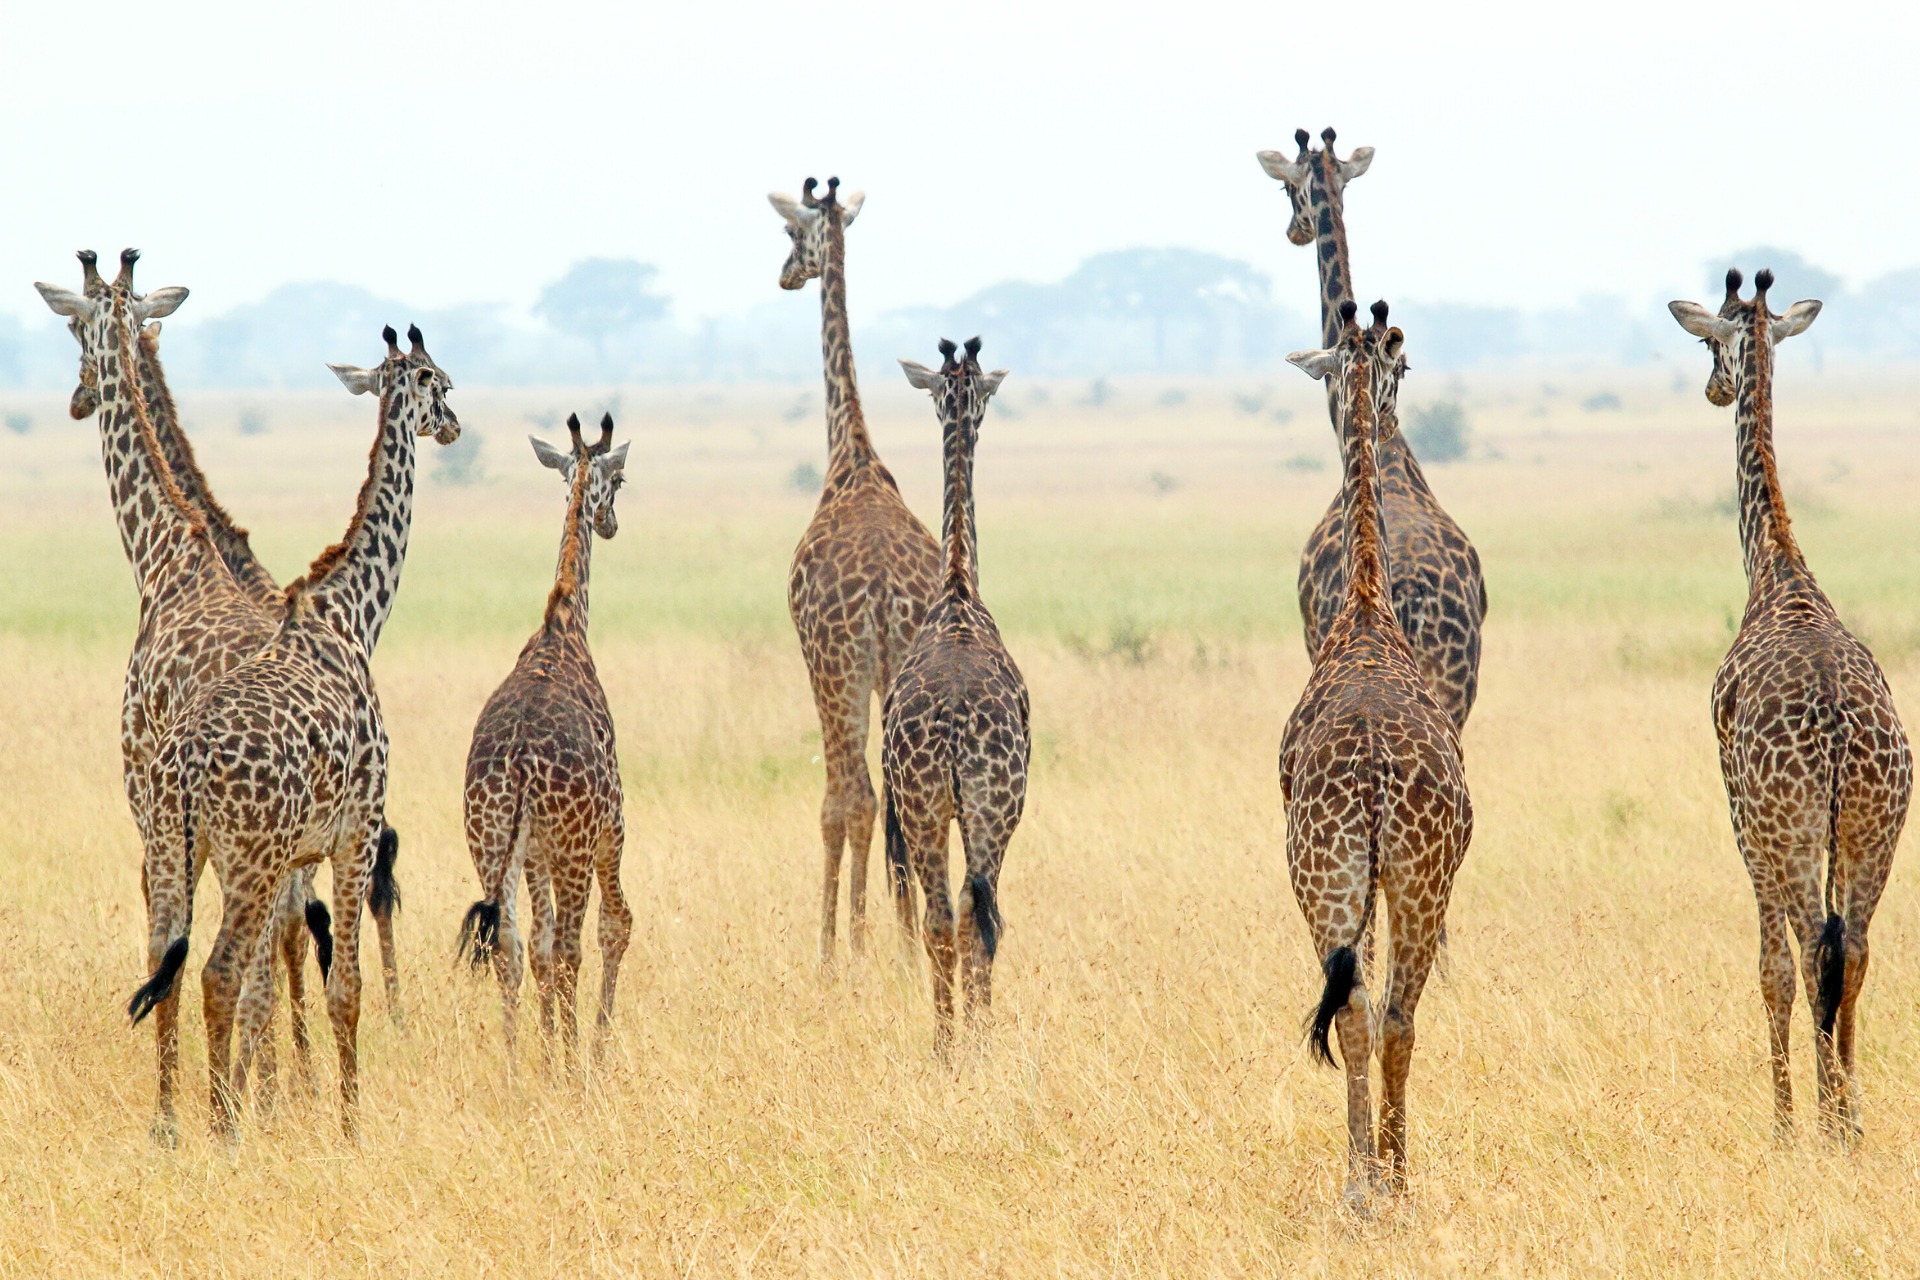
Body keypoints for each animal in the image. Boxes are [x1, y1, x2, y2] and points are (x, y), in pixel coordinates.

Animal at [125, 323, 459, 1139]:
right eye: (439, 381)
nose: (455, 426)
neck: (353, 616)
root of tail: (186, 765)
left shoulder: (302, 851)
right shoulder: (357, 829)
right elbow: (345, 985)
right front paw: (348, 1126)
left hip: (174, 846)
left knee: (163, 960)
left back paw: (173, 1126)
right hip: (246, 855)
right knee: (216, 971)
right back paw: (224, 1133)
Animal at [457, 413, 632, 1070]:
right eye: (621, 478)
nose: (610, 523)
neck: (564, 622)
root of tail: (518, 765)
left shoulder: (531, 851)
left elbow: (536, 945)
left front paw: (549, 1048)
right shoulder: (610, 827)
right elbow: (606, 929)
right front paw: (586, 1050)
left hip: (487, 843)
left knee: (508, 947)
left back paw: (513, 1066)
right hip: (574, 847)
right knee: (573, 944)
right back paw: (572, 1061)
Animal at [1670, 269, 1910, 1143]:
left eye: (1711, 340)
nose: (1712, 387)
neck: (1776, 569)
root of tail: (1840, 738)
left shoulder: (1742, 818)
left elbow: (1770, 966)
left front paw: (1782, 1122)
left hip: (1794, 827)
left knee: (1812, 948)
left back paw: (1825, 1120)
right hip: (1875, 827)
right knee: (1857, 948)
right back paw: (1851, 1113)